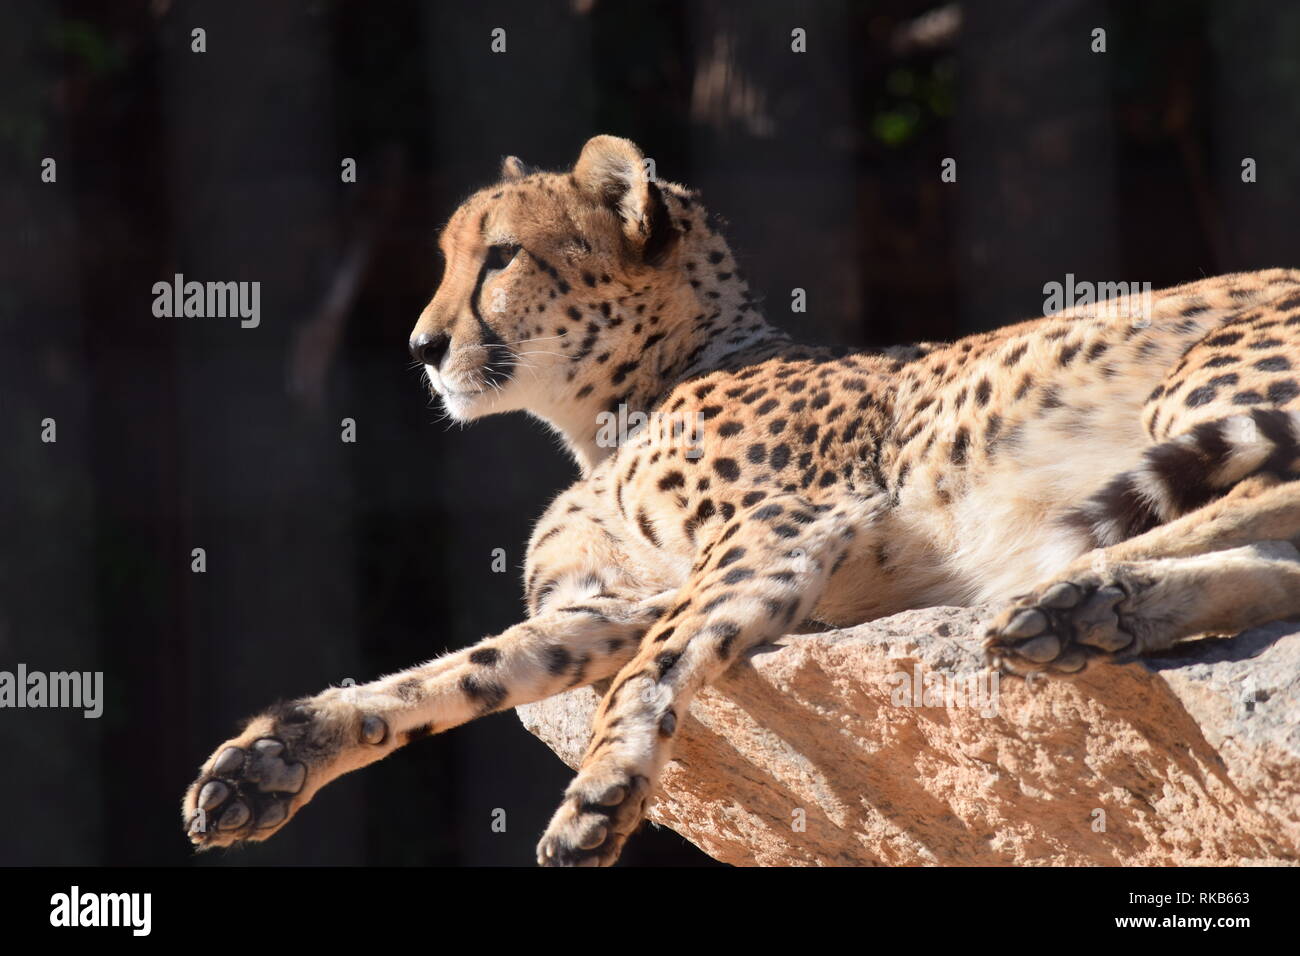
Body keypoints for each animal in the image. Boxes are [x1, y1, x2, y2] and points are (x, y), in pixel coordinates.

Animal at [183, 135, 1300, 866]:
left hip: (1200, 379)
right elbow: (464, 670)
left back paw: (1072, 589)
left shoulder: (778, 527)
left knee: (1244, 496)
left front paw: (602, 791)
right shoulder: (613, 598)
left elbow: (649, 668)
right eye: (452, 259)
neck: (611, 409)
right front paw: (275, 753)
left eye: (498, 257)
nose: (421, 345)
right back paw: (1096, 612)